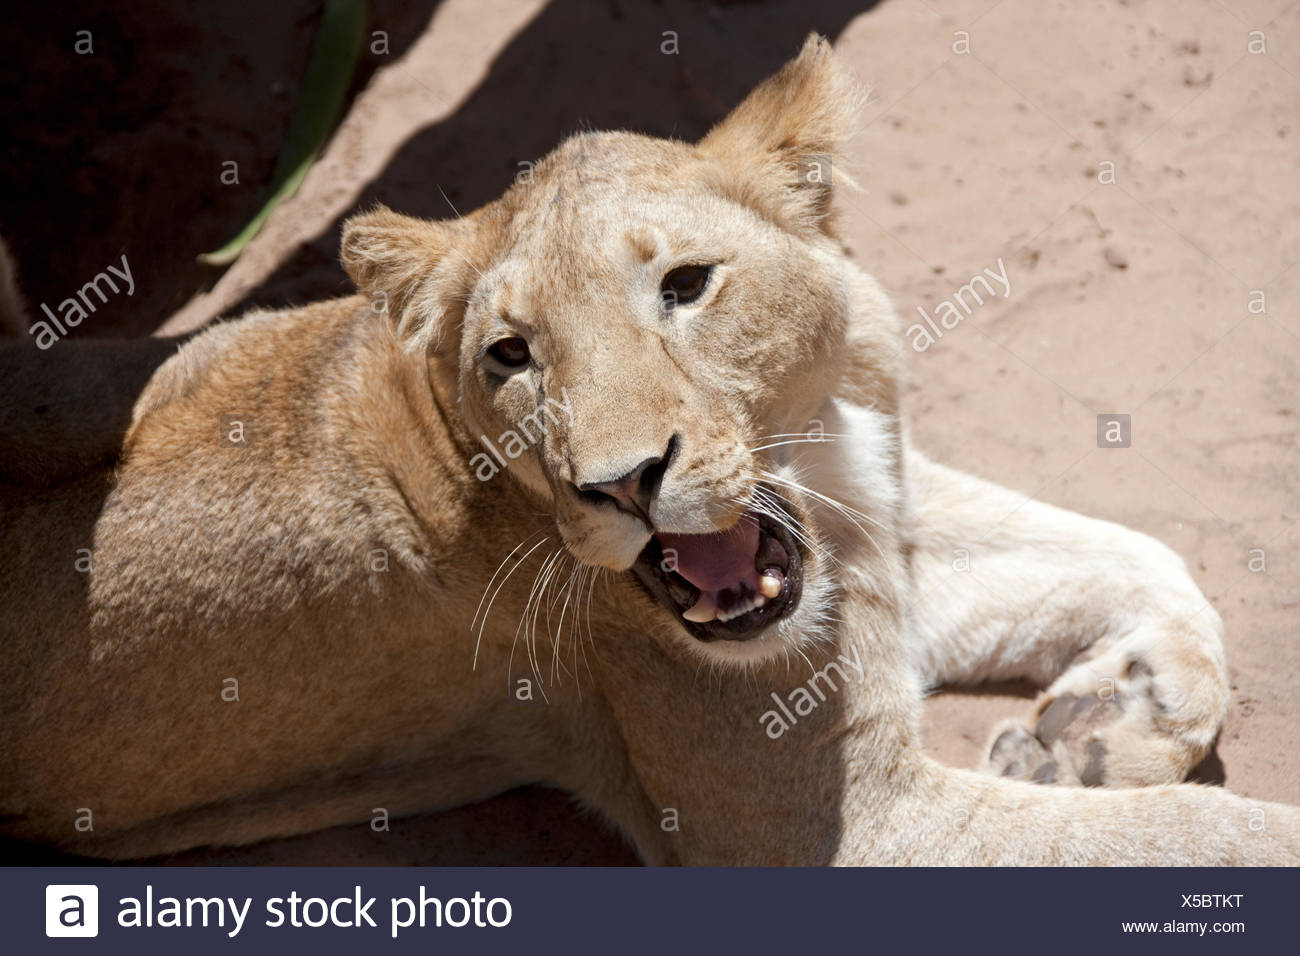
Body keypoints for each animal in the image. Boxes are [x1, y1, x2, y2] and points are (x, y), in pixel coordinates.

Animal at [1, 35, 1297, 865]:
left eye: (685, 284)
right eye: (510, 354)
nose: (623, 482)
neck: (819, 476)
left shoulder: (884, 524)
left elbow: (1139, 553)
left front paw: (1095, 729)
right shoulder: (831, 831)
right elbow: (1202, 832)